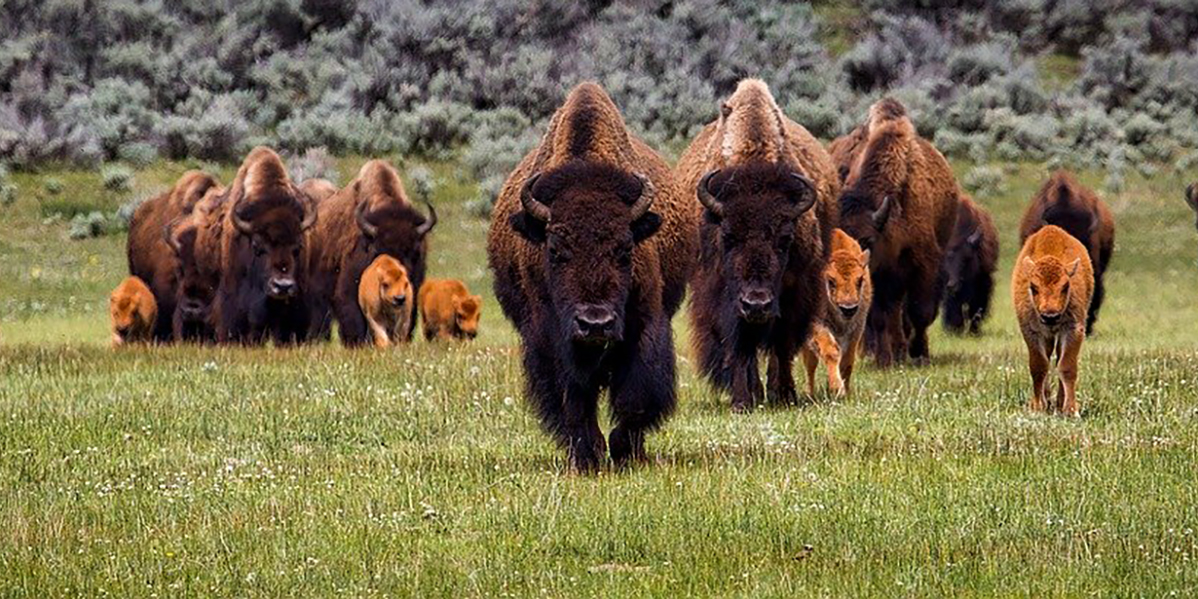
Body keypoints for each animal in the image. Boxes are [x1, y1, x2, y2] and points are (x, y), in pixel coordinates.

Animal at [487, 82, 699, 472]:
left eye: (625, 248)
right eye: (555, 250)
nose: (595, 323)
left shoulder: (645, 323)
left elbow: (636, 396)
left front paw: (624, 450)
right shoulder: (550, 337)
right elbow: (573, 400)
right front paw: (589, 455)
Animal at [680, 79, 840, 410]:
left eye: (785, 239)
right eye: (728, 236)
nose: (756, 304)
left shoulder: (795, 291)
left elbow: (782, 344)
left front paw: (785, 394)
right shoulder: (720, 296)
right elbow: (740, 347)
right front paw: (742, 400)